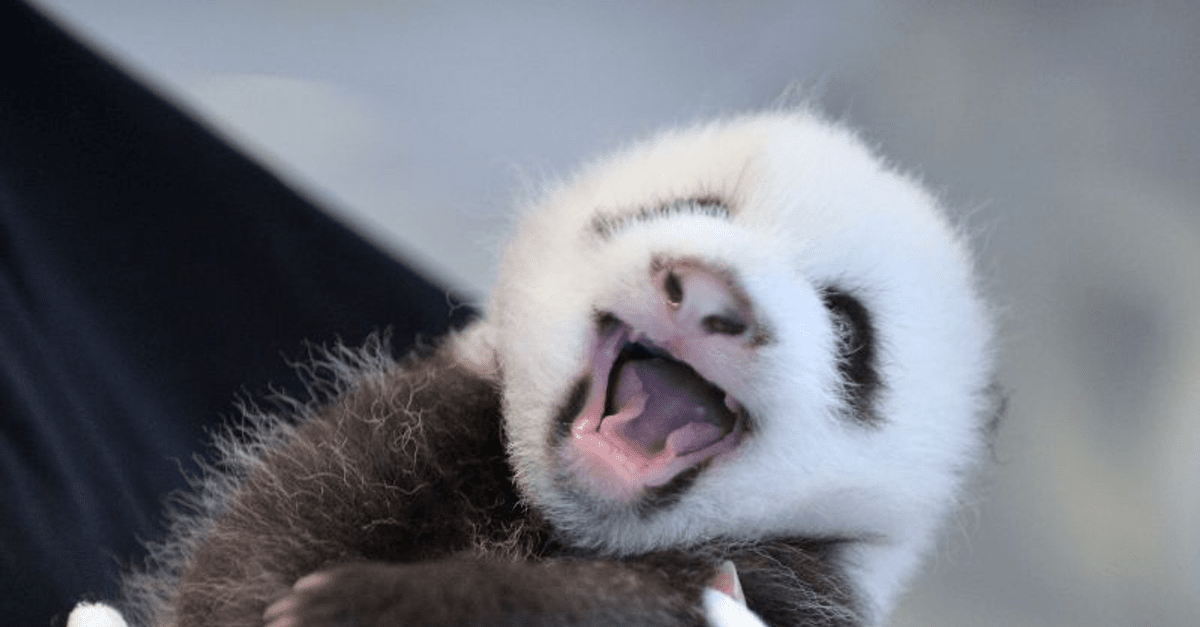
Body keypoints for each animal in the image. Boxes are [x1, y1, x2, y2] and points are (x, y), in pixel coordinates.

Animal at [68, 111, 998, 627]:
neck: (560, 525)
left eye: (847, 323)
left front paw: (380, 603)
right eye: (693, 206)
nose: (706, 296)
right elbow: (243, 569)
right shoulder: (400, 432)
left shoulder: (798, 582)